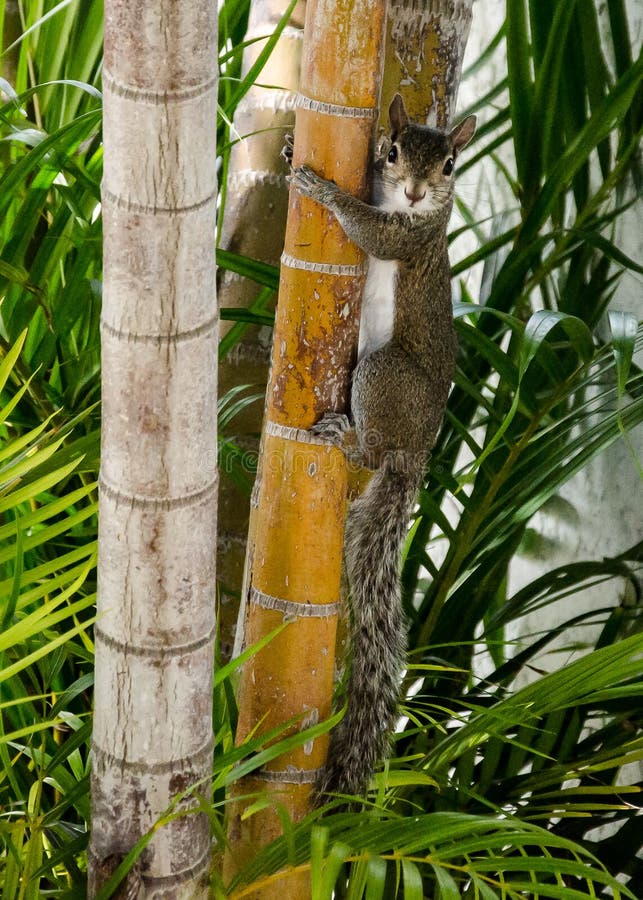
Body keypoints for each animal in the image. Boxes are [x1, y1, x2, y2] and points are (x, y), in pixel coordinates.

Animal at [288, 94, 476, 803]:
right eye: (393, 150)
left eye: (450, 164)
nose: (419, 191)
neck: (407, 205)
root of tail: (414, 453)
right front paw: (294, 150)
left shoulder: (410, 236)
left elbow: (371, 230)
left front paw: (324, 190)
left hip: (381, 377)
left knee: (369, 450)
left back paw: (347, 437)